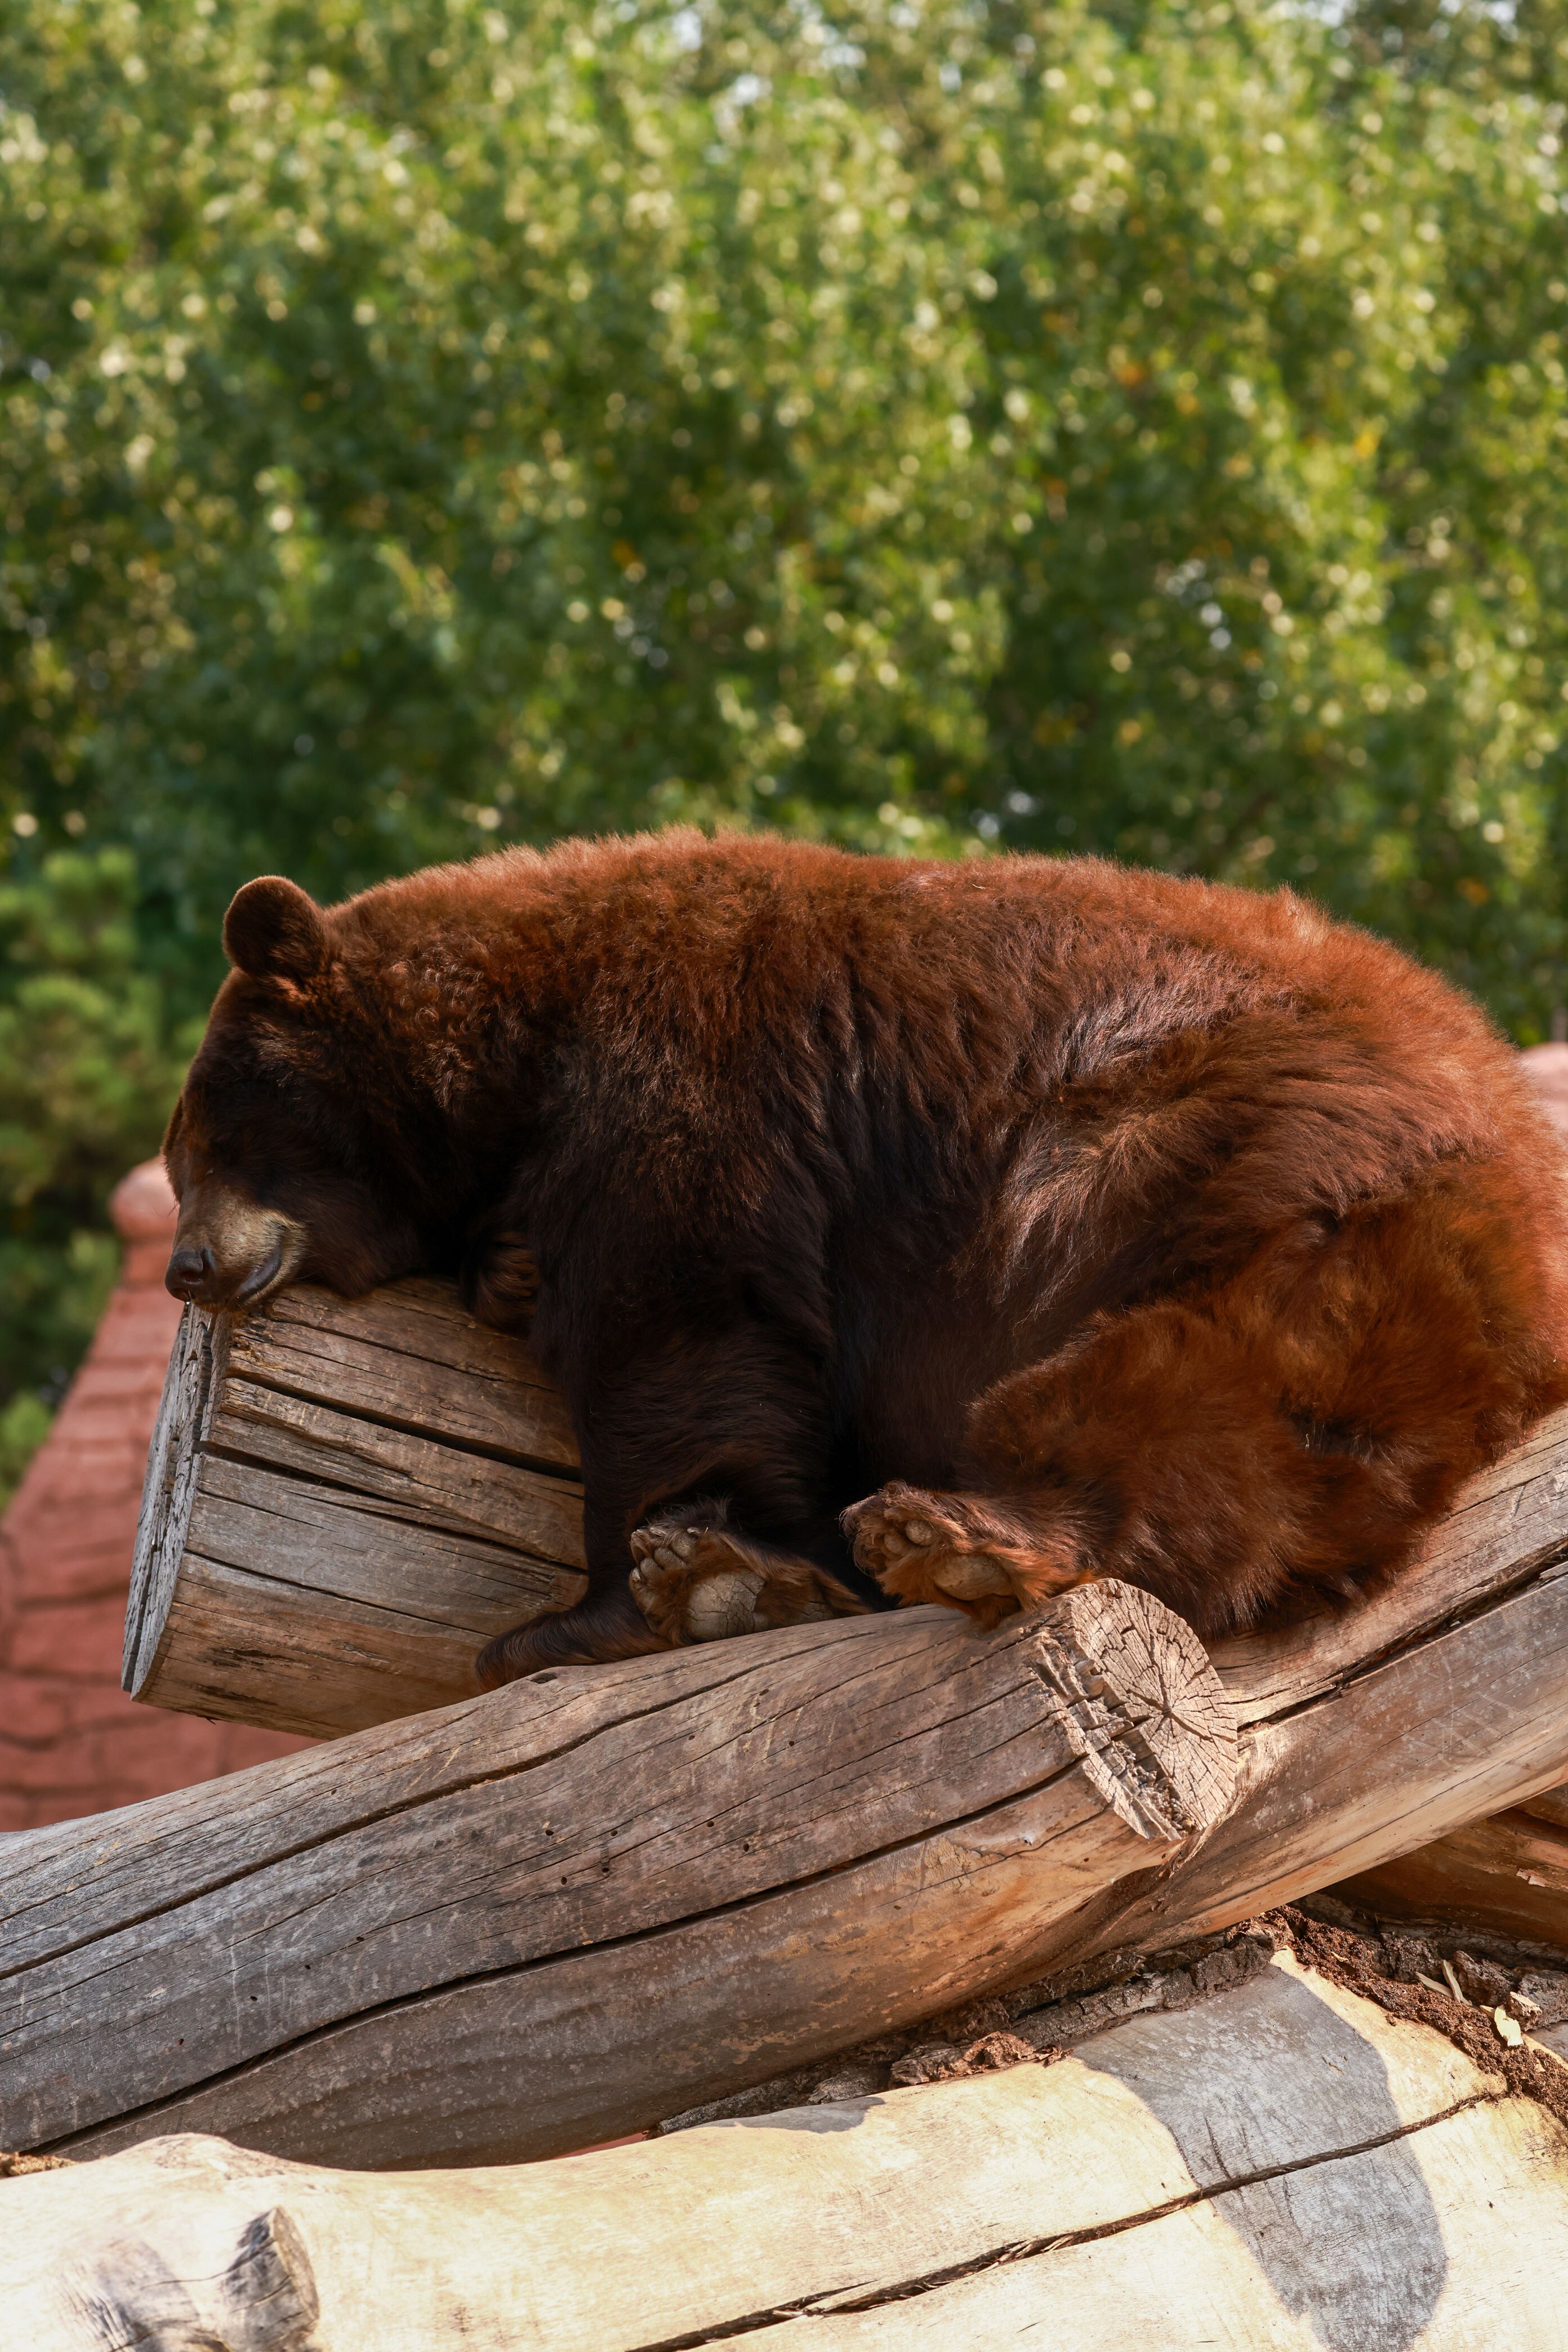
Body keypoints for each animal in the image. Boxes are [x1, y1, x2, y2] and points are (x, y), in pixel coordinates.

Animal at [161, 829, 1568, 1679]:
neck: (518, 1052)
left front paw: (579, 1616)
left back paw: (955, 1533)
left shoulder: (686, 1092)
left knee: (1199, 1387)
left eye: (211, 1133)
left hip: (1248, 1182)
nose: (187, 1268)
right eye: (180, 1163)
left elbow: (680, 1339)